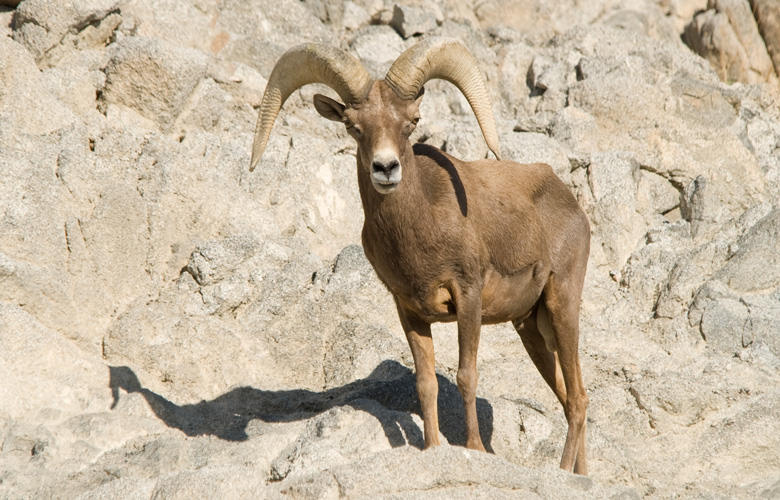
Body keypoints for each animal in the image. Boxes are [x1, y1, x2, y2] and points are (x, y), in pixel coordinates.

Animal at [250, 37, 591, 475]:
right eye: (353, 126)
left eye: (412, 121)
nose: (386, 167)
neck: (421, 228)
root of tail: (568, 200)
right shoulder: (409, 311)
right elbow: (425, 383)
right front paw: (431, 448)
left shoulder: (468, 298)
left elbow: (465, 376)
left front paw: (474, 450)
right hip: (530, 327)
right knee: (569, 397)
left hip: (562, 305)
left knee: (578, 399)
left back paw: (562, 472)